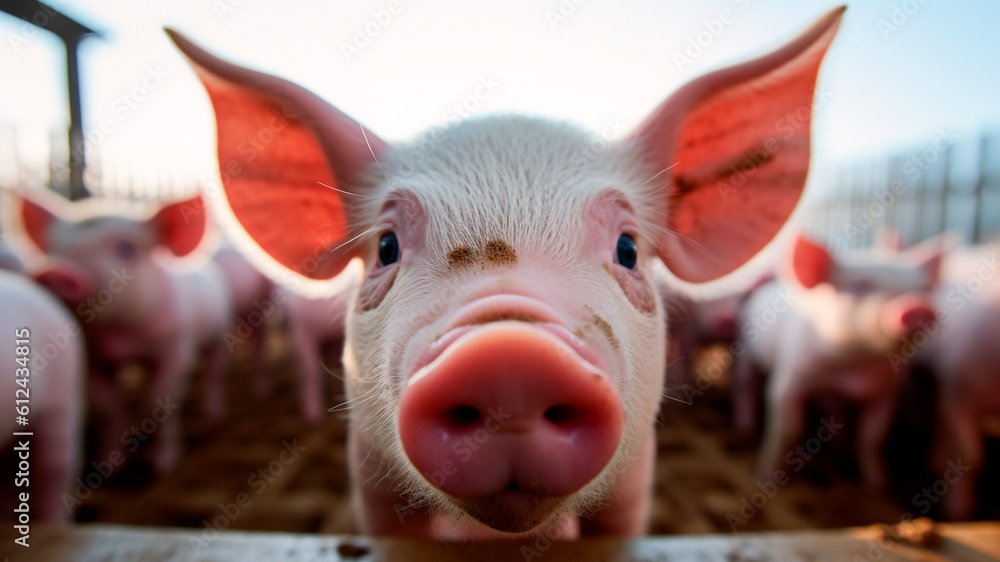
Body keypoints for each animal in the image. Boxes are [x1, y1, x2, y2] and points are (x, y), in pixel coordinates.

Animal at [4, 191, 232, 474]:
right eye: (52, 249)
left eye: (126, 249)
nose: (55, 271)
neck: (121, 337)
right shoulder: (94, 360)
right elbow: (109, 409)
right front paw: (109, 466)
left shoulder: (177, 347)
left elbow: (158, 401)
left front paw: (163, 465)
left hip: (218, 330)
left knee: (213, 370)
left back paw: (213, 413)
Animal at [736, 233, 942, 488]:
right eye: (859, 286)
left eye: (923, 289)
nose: (918, 306)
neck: (855, 366)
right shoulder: (789, 378)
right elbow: (789, 429)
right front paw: (766, 477)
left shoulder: (886, 392)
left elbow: (873, 437)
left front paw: (878, 483)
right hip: (745, 348)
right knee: (747, 385)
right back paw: (746, 427)